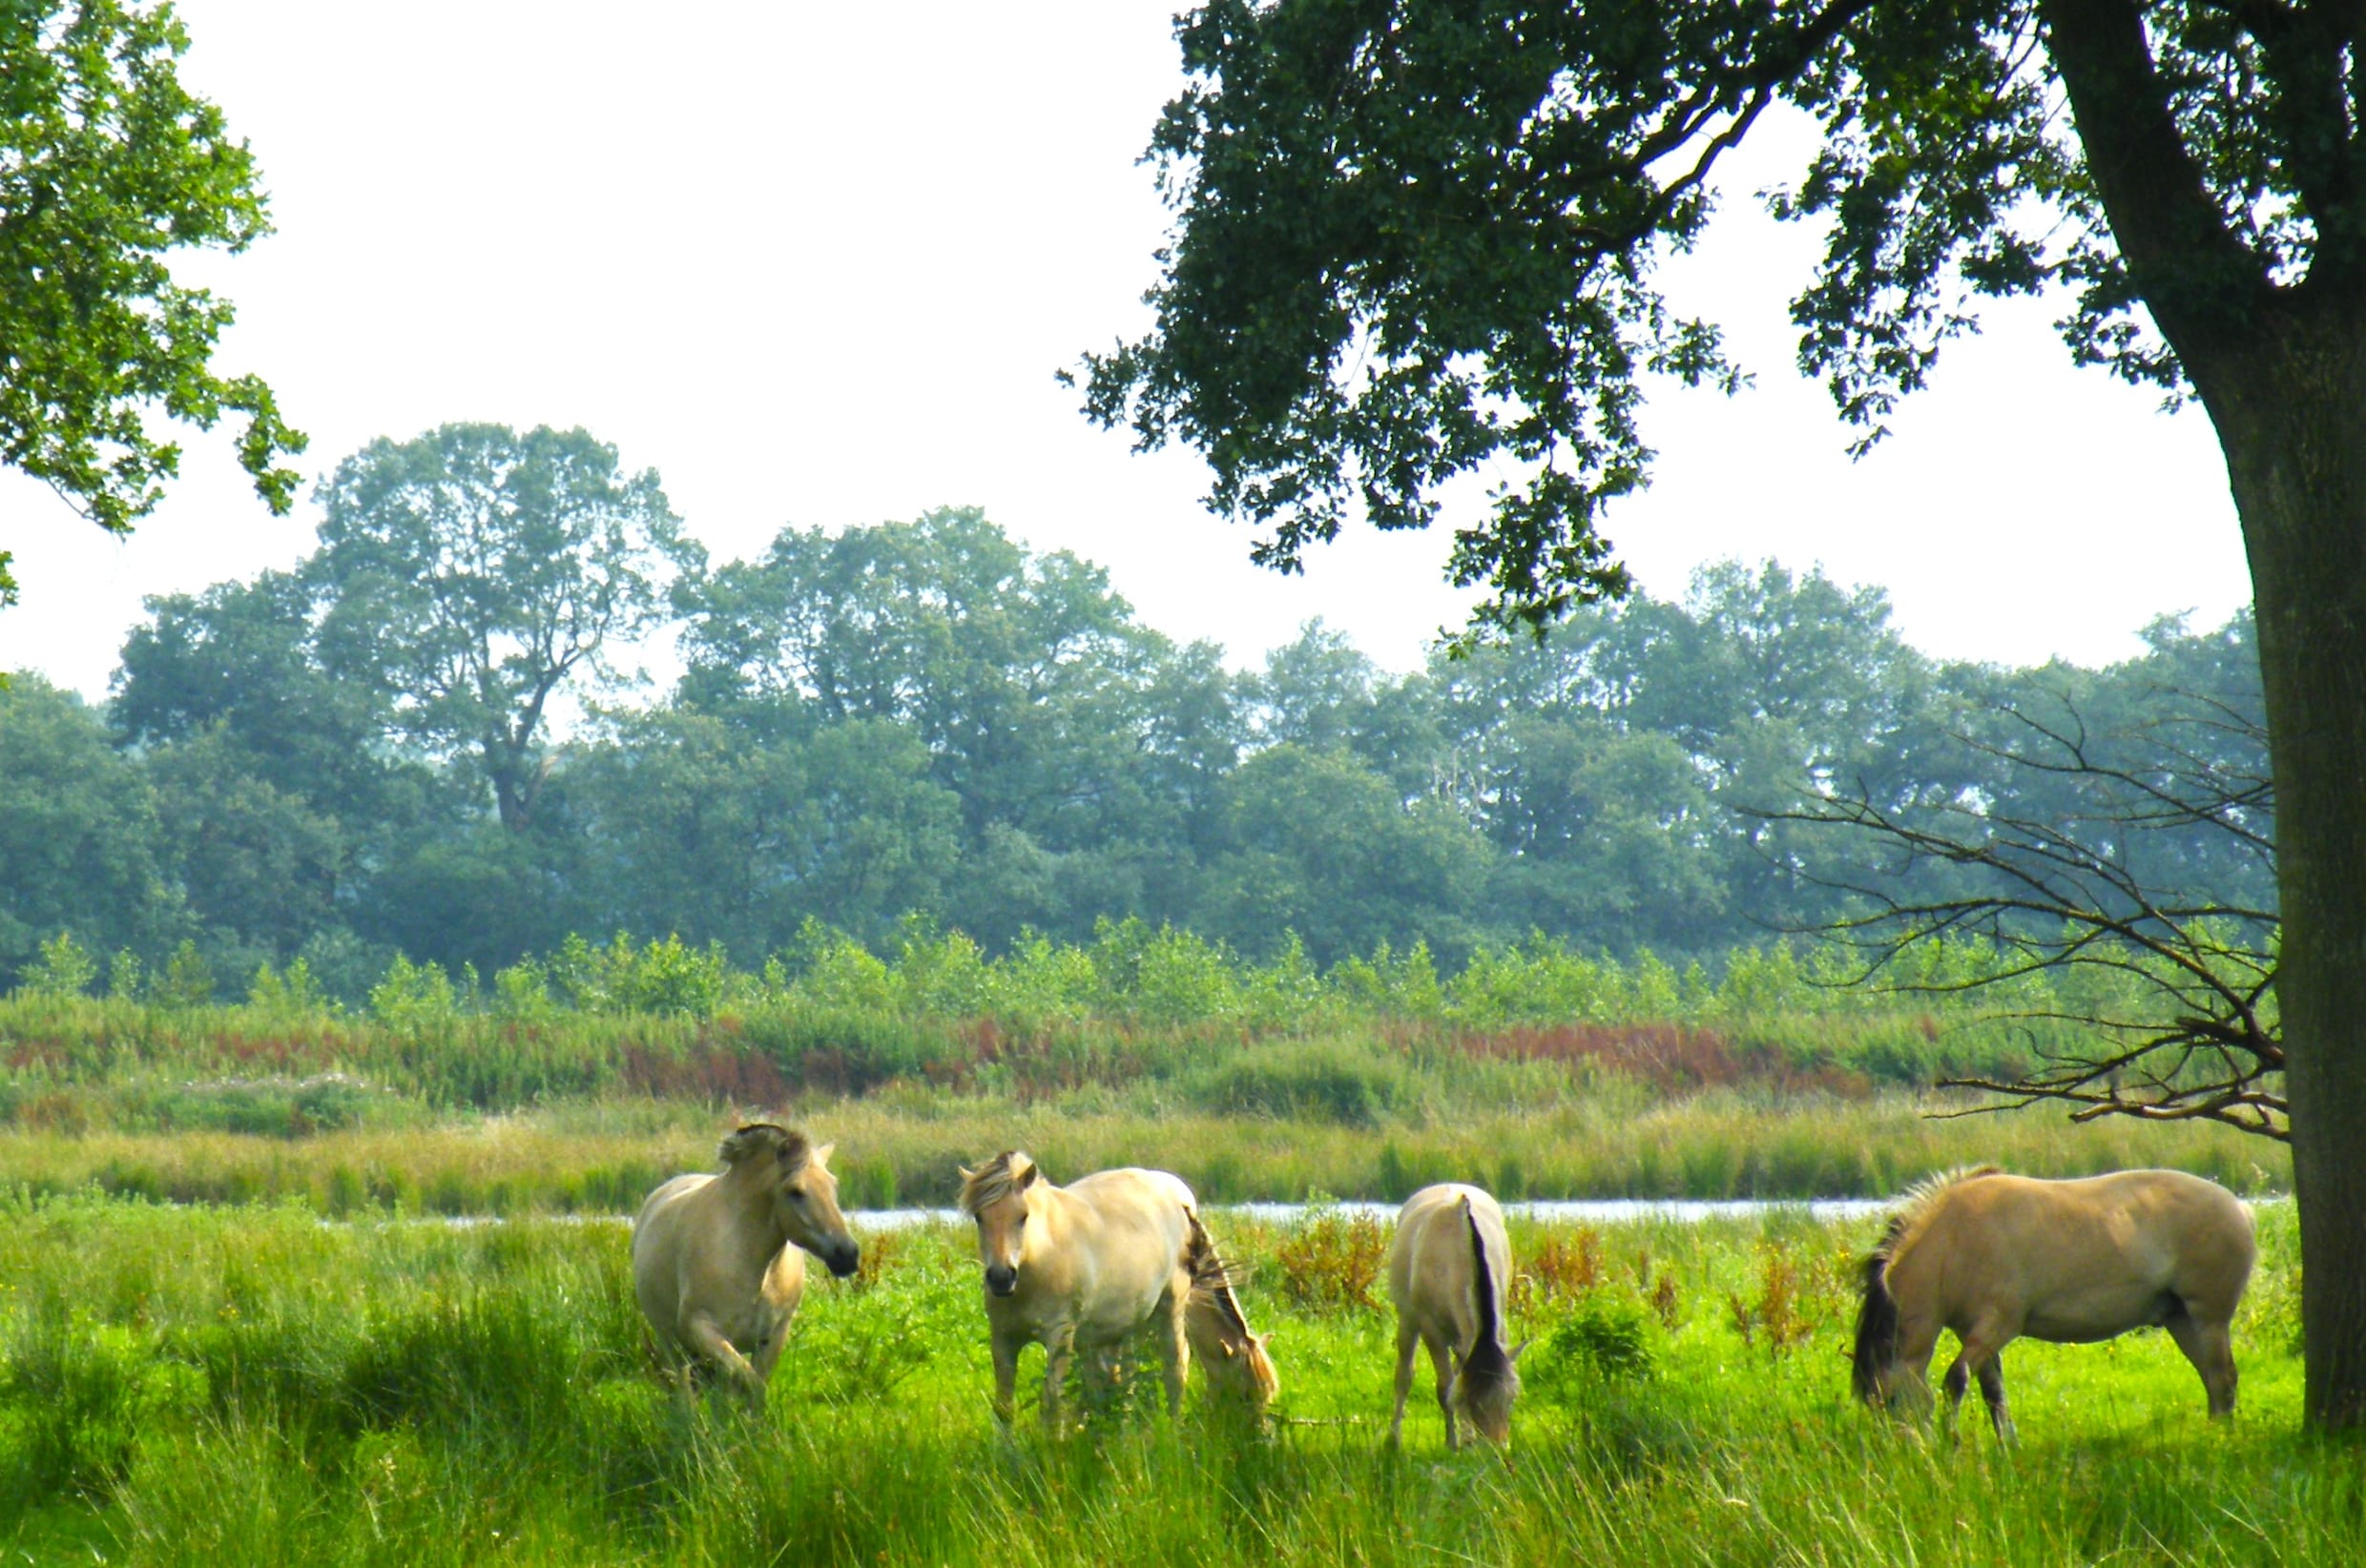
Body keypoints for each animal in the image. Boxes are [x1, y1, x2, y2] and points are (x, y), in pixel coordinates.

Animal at [631, 1123, 859, 1411]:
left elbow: (755, 1390)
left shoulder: (774, 1335)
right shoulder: (702, 1329)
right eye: (795, 1191)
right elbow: (748, 1383)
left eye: (834, 1186)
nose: (848, 1254)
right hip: (672, 1345)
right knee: (686, 1392)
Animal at [960, 1150, 1265, 1430]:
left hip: (1170, 1310)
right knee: (1124, 1378)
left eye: (1023, 1216)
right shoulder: (1004, 1339)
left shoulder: (1061, 1336)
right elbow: (1004, 1407)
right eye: (979, 1217)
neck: (1042, 1256)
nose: (1001, 1277)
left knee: (1175, 1369)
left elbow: (1052, 1403)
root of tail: (1179, 1197)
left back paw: (1173, 1431)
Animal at [1387, 1182, 1523, 1450]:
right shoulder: (1431, 1329)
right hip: (1408, 1320)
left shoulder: (1499, 1326)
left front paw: (1465, 1437)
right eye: (1475, 1401)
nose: (1500, 1448)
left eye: (1511, 1398)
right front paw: (1452, 1442)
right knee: (1404, 1376)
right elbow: (1445, 1389)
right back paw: (1393, 1439)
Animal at [1852, 1166, 2256, 1439]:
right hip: (2181, 1320)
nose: (1902, 1456)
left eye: (1890, 1400)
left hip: (2208, 1319)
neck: (1955, 1241)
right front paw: (2007, 1447)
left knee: (2223, 1378)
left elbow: (1956, 1380)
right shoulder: (1977, 1335)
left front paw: (1951, 1443)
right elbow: (1994, 1394)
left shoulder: (1997, 1327)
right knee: (2213, 1380)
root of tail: (2240, 1208)